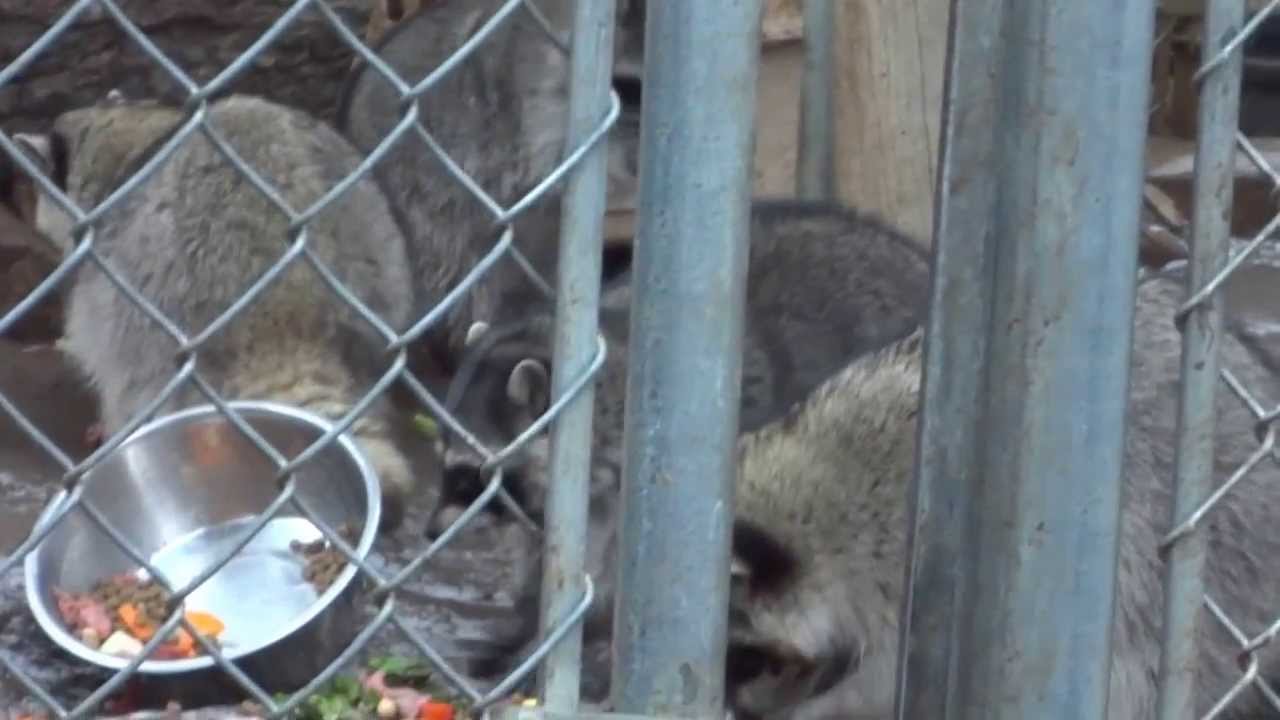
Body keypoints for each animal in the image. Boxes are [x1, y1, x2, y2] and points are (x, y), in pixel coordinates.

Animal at [16, 94, 419, 530]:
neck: (130, 133)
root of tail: (287, 310)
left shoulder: (102, 275)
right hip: (380, 259)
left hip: (151, 307)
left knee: (133, 375)